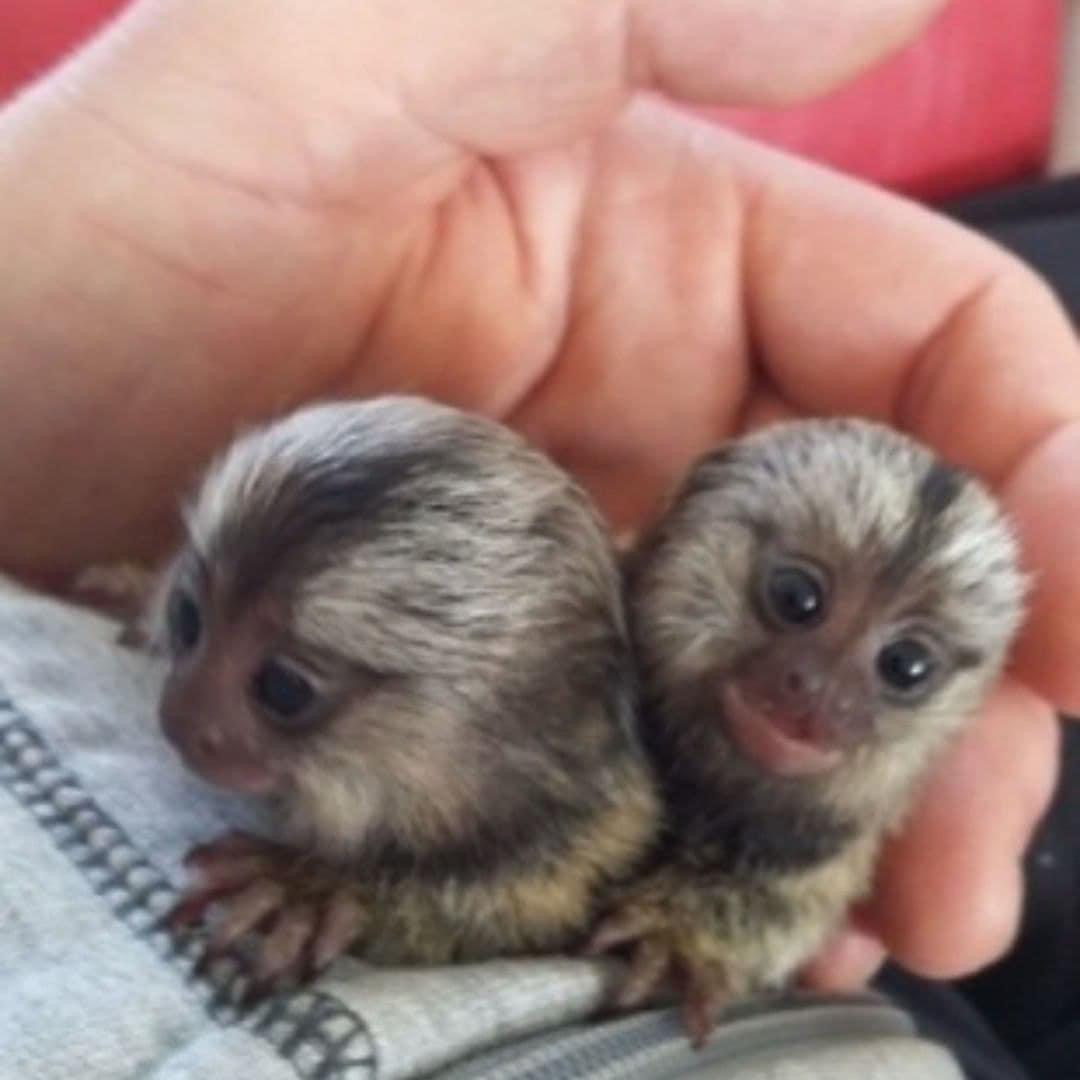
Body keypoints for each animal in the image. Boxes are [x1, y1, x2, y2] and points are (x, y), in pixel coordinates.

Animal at [585, 418, 1026, 1047]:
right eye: (797, 598)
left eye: (906, 666)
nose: (818, 691)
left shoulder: (829, 849)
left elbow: (787, 909)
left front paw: (681, 933)